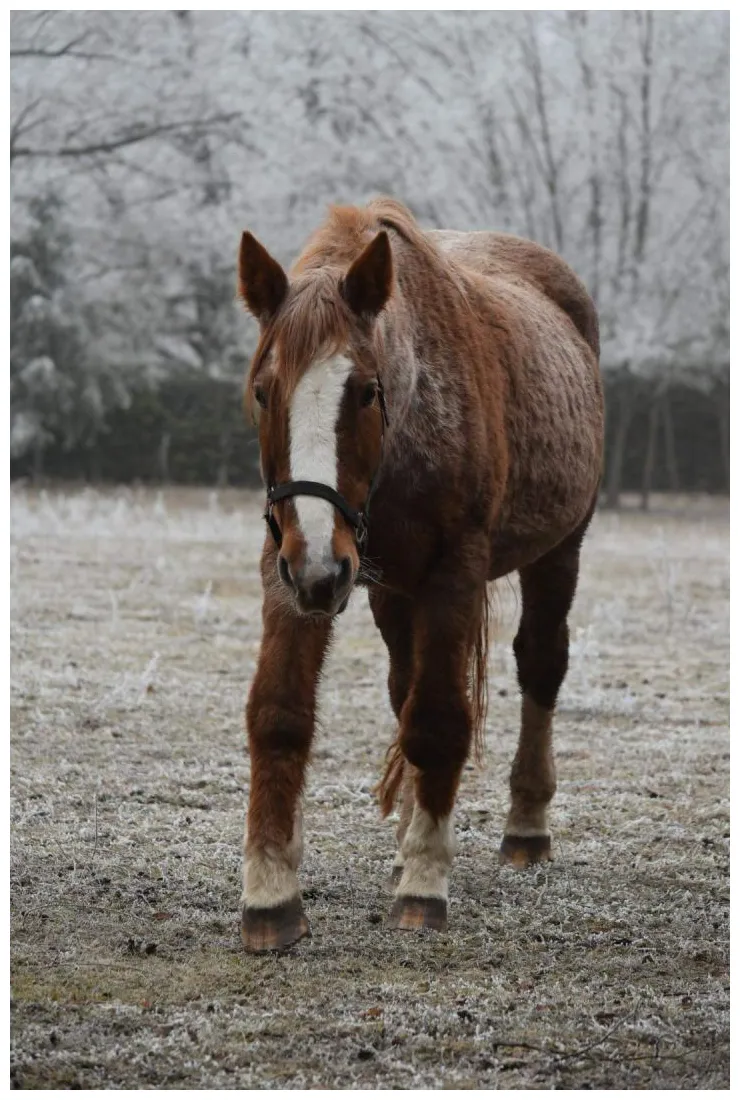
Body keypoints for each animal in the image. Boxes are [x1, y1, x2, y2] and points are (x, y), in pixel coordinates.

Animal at [237, 198, 603, 952]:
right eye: (263, 391)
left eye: (366, 391)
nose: (320, 564)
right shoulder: (287, 567)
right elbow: (280, 714)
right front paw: (270, 893)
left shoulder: (451, 573)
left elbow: (436, 720)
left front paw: (424, 883)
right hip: (384, 590)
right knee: (402, 688)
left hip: (559, 550)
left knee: (540, 664)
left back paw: (525, 825)